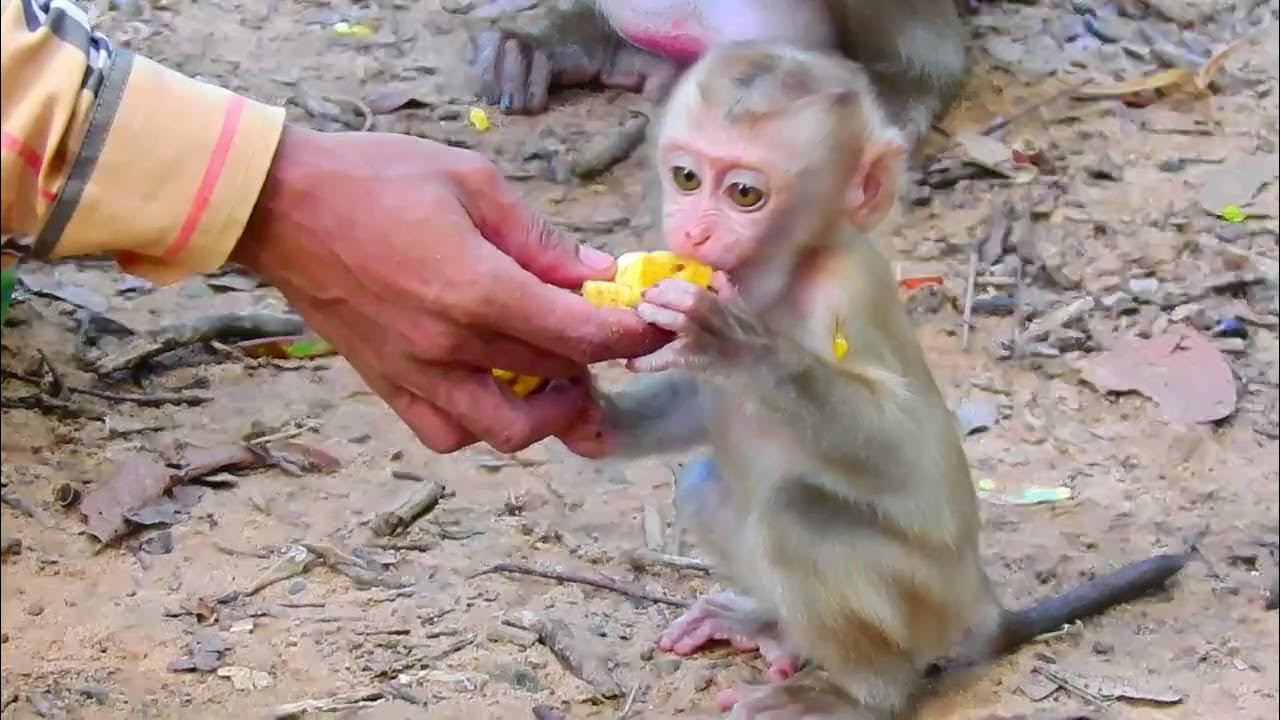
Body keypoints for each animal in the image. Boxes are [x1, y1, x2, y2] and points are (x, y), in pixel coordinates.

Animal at [555, 43, 1186, 719]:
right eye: (687, 178)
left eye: (745, 193)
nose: (694, 231)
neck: (784, 279)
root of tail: (978, 600)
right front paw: (596, 420)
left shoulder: (847, 291)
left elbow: (903, 447)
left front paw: (734, 343)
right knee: (705, 485)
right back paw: (772, 626)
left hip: (923, 604)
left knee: (797, 513)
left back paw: (858, 695)